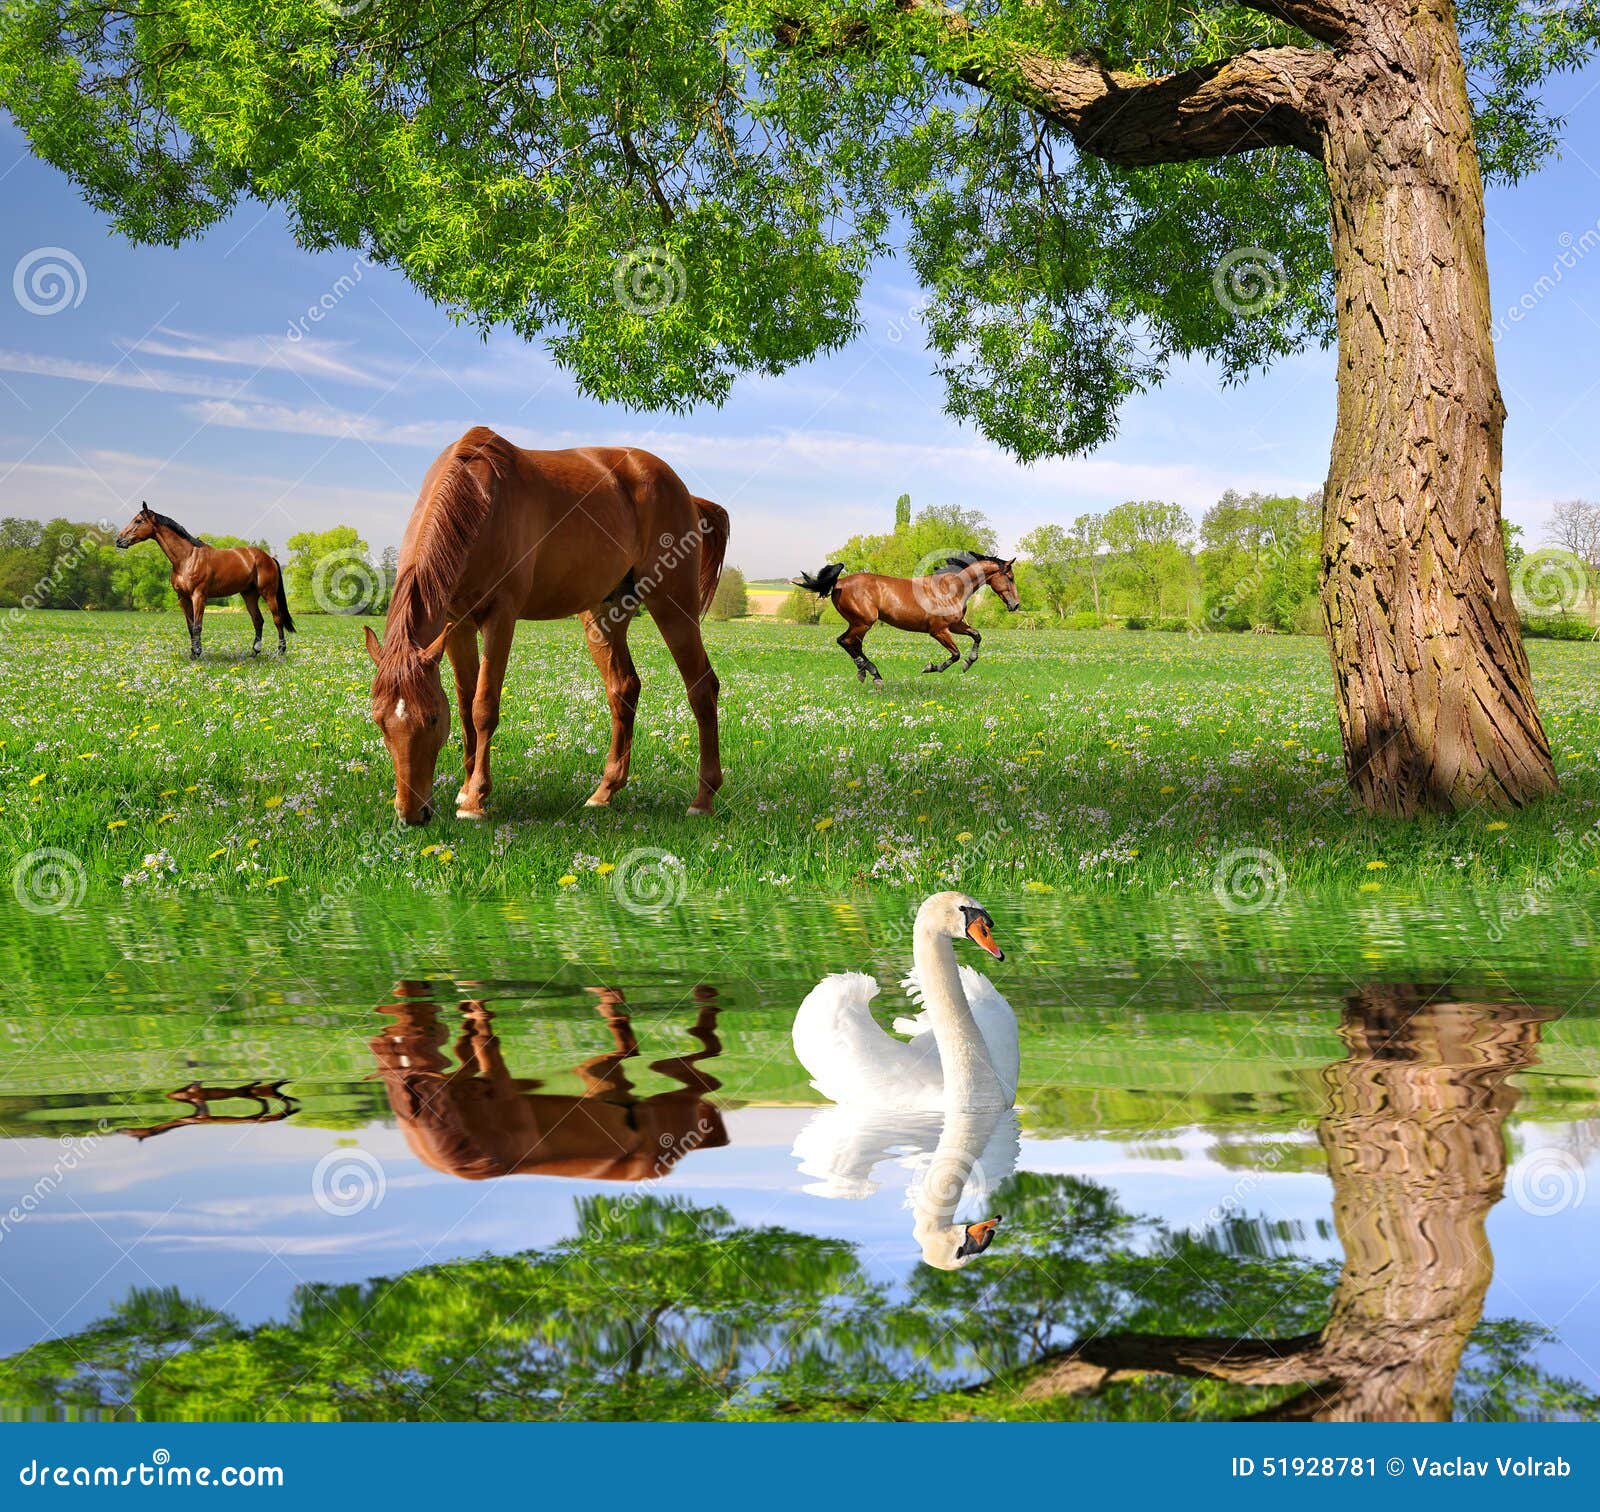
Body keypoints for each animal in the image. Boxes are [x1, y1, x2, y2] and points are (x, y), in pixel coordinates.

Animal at [114, 504, 296, 659]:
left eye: (138, 521)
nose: (119, 540)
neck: (187, 558)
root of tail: (269, 557)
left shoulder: (199, 596)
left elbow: (197, 625)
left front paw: (197, 653)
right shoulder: (183, 598)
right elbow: (190, 626)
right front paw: (192, 653)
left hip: (268, 594)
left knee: (277, 619)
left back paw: (280, 652)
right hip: (249, 595)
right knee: (258, 620)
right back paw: (254, 653)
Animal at [365, 427, 727, 825]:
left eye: (431, 719)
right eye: (380, 720)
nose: (411, 813)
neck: (479, 499)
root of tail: (684, 493)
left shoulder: (500, 616)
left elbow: (483, 706)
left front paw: (475, 799)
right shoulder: (456, 624)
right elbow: (464, 706)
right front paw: (464, 788)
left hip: (673, 604)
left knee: (701, 688)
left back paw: (703, 798)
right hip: (603, 615)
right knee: (624, 689)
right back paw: (604, 791)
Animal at [791, 553, 1020, 686]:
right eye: (1010, 578)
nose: (1015, 605)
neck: (951, 588)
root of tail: (839, 583)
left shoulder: (955, 625)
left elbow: (977, 636)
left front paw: (968, 663)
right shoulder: (938, 630)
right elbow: (955, 654)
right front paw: (931, 668)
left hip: (859, 624)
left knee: (853, 644)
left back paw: (868, 673)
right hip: (863, 622)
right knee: (844, 641)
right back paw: (871, 673)